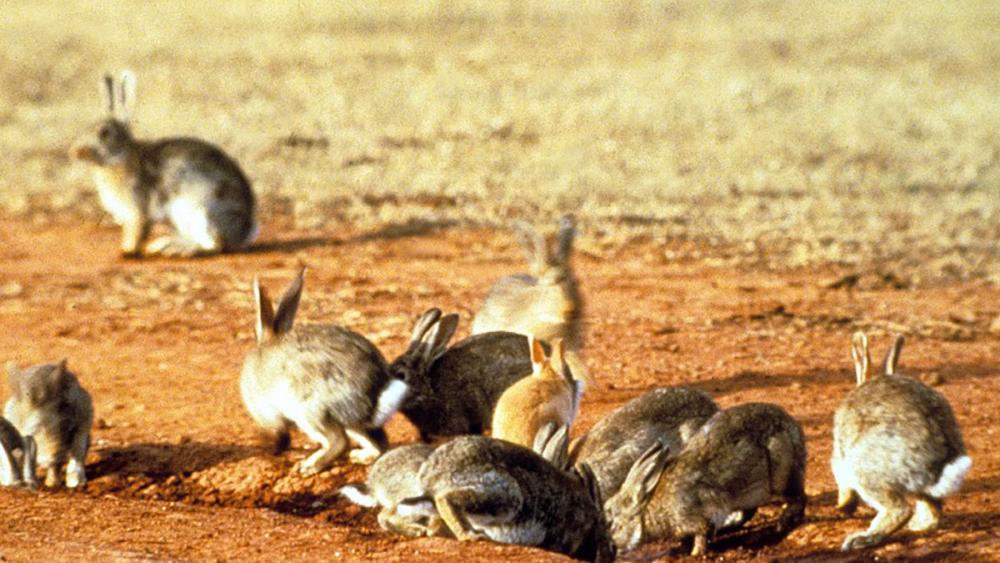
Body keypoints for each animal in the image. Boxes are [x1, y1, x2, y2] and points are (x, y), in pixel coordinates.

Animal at [69, 70, 257, 258]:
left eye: (104, 133)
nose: (75, 151)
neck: (120, 156)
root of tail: (244, 232)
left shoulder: (137, 208)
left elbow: (136, 231)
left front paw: (126, 251)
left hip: (201, 212)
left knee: (215, 246)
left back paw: (176, 249)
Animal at [240, 269, 409, 474]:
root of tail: (375, 393)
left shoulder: (268, 411)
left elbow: (280, 432)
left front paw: (277, 448)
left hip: (309, 410)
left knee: (339, 441)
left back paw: (310, 466)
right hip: (350, 422)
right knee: (379, 444)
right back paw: (359, 456)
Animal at [396, 435, 616, 562]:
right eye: (607, 525)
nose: (612, 551)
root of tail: (431, 478)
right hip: (507, 495)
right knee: (447, 499)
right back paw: (470, 535)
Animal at [604, 402, 807, 556]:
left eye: (612, 525)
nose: (610, 550)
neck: (647, 505)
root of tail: (795, 429)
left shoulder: (694, 515)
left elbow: (702, 533)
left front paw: (695, 554)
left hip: (780, 474)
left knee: (798, 498)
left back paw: (781, 524)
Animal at [832, 332, 971, 551]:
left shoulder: (839, 458)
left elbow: (843, 483)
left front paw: (843, 506)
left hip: (866, 468)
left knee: (899, 510)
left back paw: (861, 539)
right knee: (932, 512)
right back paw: (917, 526)